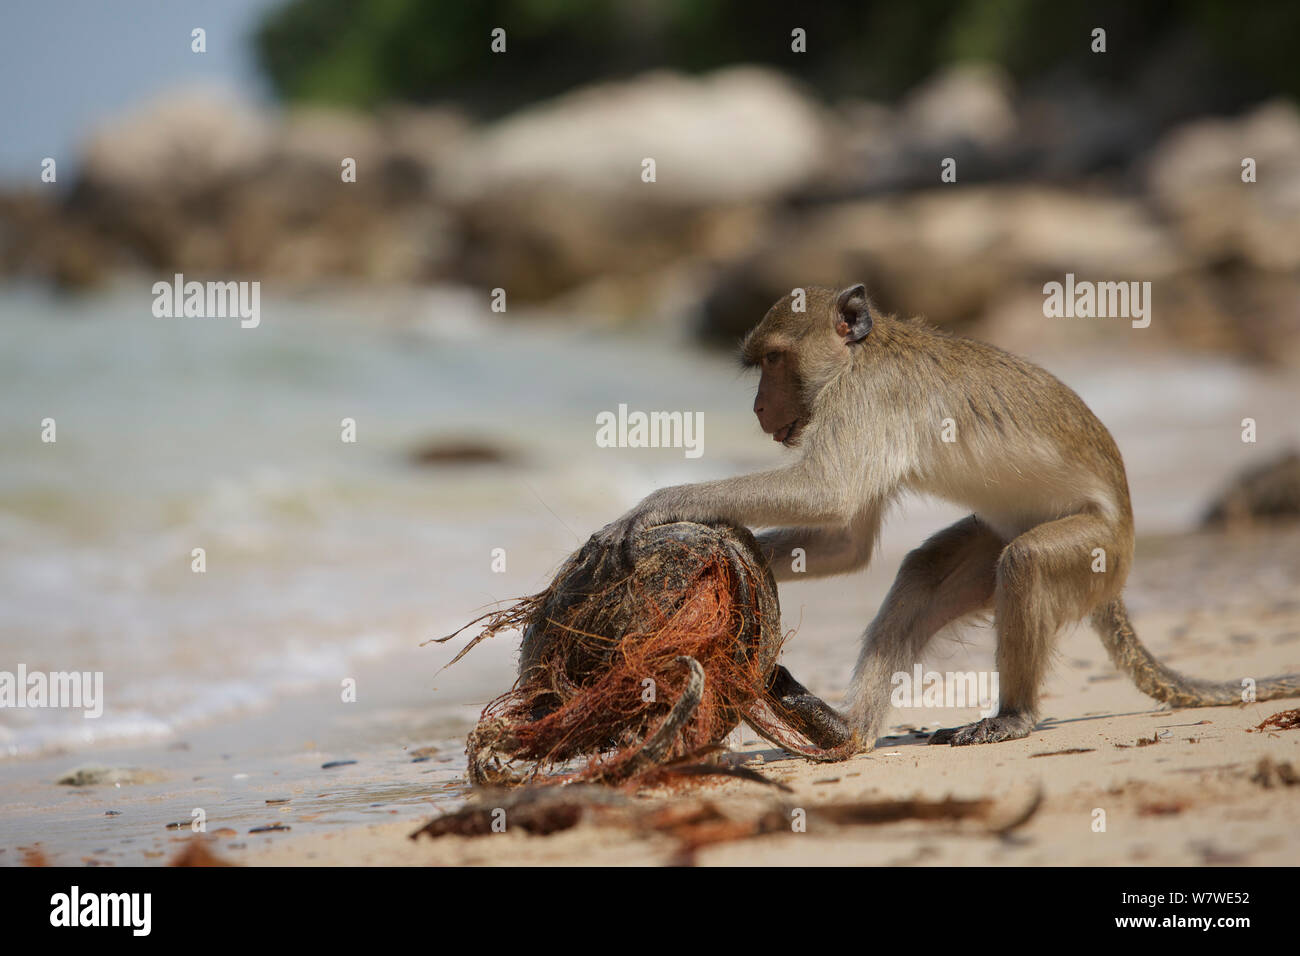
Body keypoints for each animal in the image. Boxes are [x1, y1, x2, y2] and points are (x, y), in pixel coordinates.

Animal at [595, 283, 1299, 751]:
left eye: (773, 360)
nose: (759, 410)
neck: (860, 355)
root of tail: (1126, 534)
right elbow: (848, 540)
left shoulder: (867, 399)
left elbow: (828, 492)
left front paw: (660, 505)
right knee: (927, 570)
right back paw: (846, 729)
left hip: (1098, 550)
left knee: (1027, 562)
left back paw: (1013, 714)